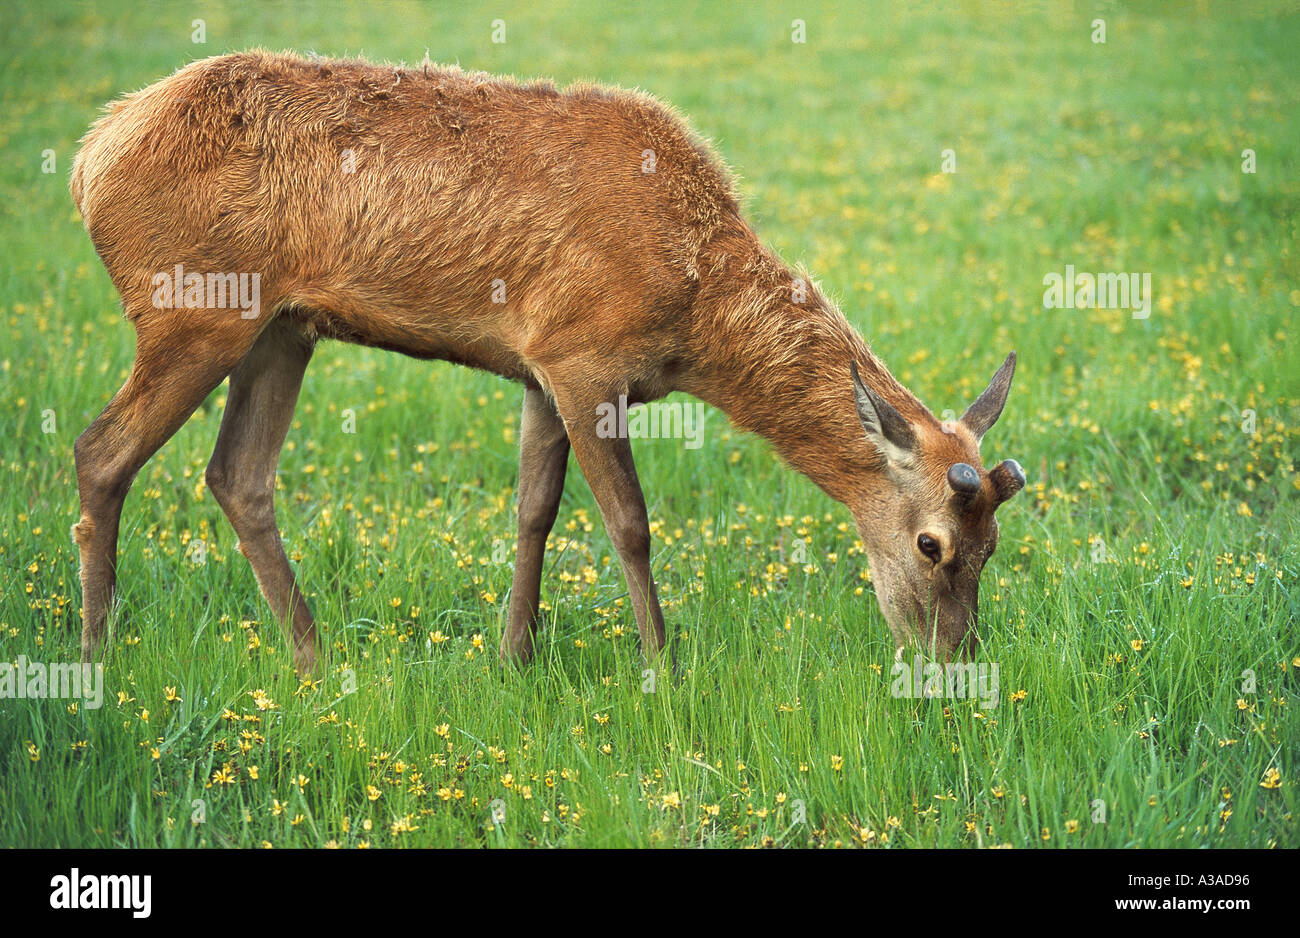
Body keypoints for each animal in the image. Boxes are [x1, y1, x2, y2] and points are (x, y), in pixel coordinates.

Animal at [69, 51, 1026, 676]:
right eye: (934, 543)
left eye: (994, 544)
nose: (954, 658)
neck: (694, 310)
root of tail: (88, 158)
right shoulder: (581, 355)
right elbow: (629, 522)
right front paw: (661, 665)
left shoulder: (537, 365)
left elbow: (534, 511)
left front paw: (515, 657)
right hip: (190, 311)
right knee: (101, 451)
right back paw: (97, 652)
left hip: (281, 328)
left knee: (237, 475)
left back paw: (312, 657)